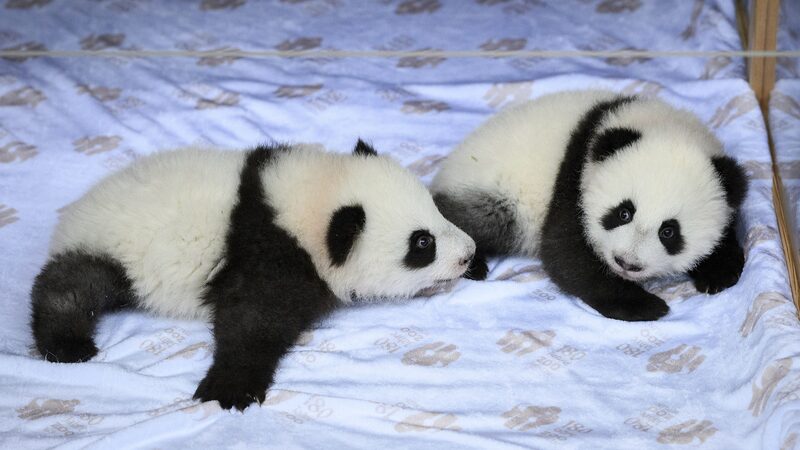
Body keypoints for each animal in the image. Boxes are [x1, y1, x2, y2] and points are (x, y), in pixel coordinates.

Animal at [31, 140, 476, 410]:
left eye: (434, 213)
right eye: (422, 243)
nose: (467, 255)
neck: (306, 203)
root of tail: (72, 217)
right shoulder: (270, 254)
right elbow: (253, 320)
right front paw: (230, 388)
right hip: (110, 249)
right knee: (71, 289)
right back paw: (67, 344)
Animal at [432, 90, 748, 322]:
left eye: (669, 232)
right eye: (623, 213)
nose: (626, 263)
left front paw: (719, 272)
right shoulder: (575, 173)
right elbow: (565, 252)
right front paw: (644, 305)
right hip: (498, 192)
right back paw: (471, 262)